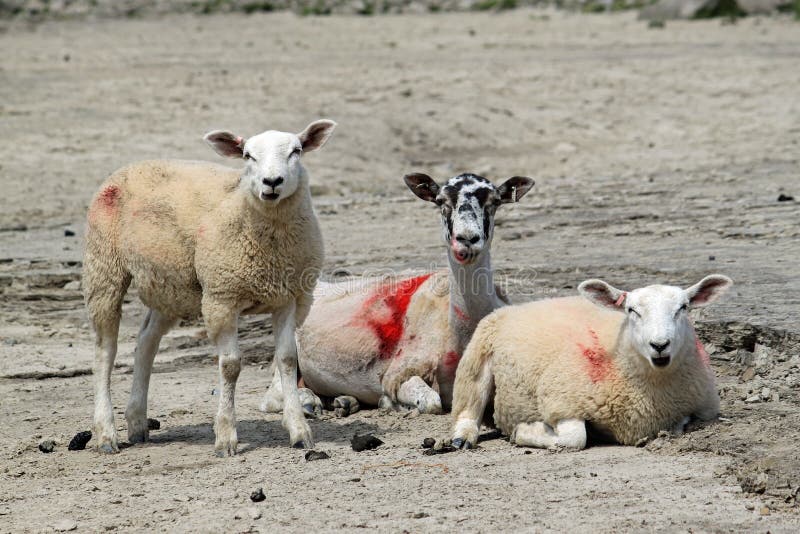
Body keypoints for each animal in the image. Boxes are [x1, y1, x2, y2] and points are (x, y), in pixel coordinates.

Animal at [83, 119, 336, 455]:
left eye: (296, 151)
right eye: (247, 155)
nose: (272, 182)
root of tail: (129, 167)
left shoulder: (288, 298)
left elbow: (287, 360)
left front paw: (299, 431)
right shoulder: (221, 297)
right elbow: (230, 366)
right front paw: (226, 436)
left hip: (169, 285)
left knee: (146, 341)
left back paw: (137, 422)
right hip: (104, 267)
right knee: (104, 351)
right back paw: (106, 432)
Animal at [451, 274, 732, 450]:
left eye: (683, 307)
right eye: (631, 310)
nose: (660, 345)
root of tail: (518, 306)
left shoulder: (704, 409)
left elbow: (682, 424)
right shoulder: (562, 401)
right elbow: (575, 438)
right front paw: (523, 431)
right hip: (476, 358)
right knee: (468, 409)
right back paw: (462, 438)